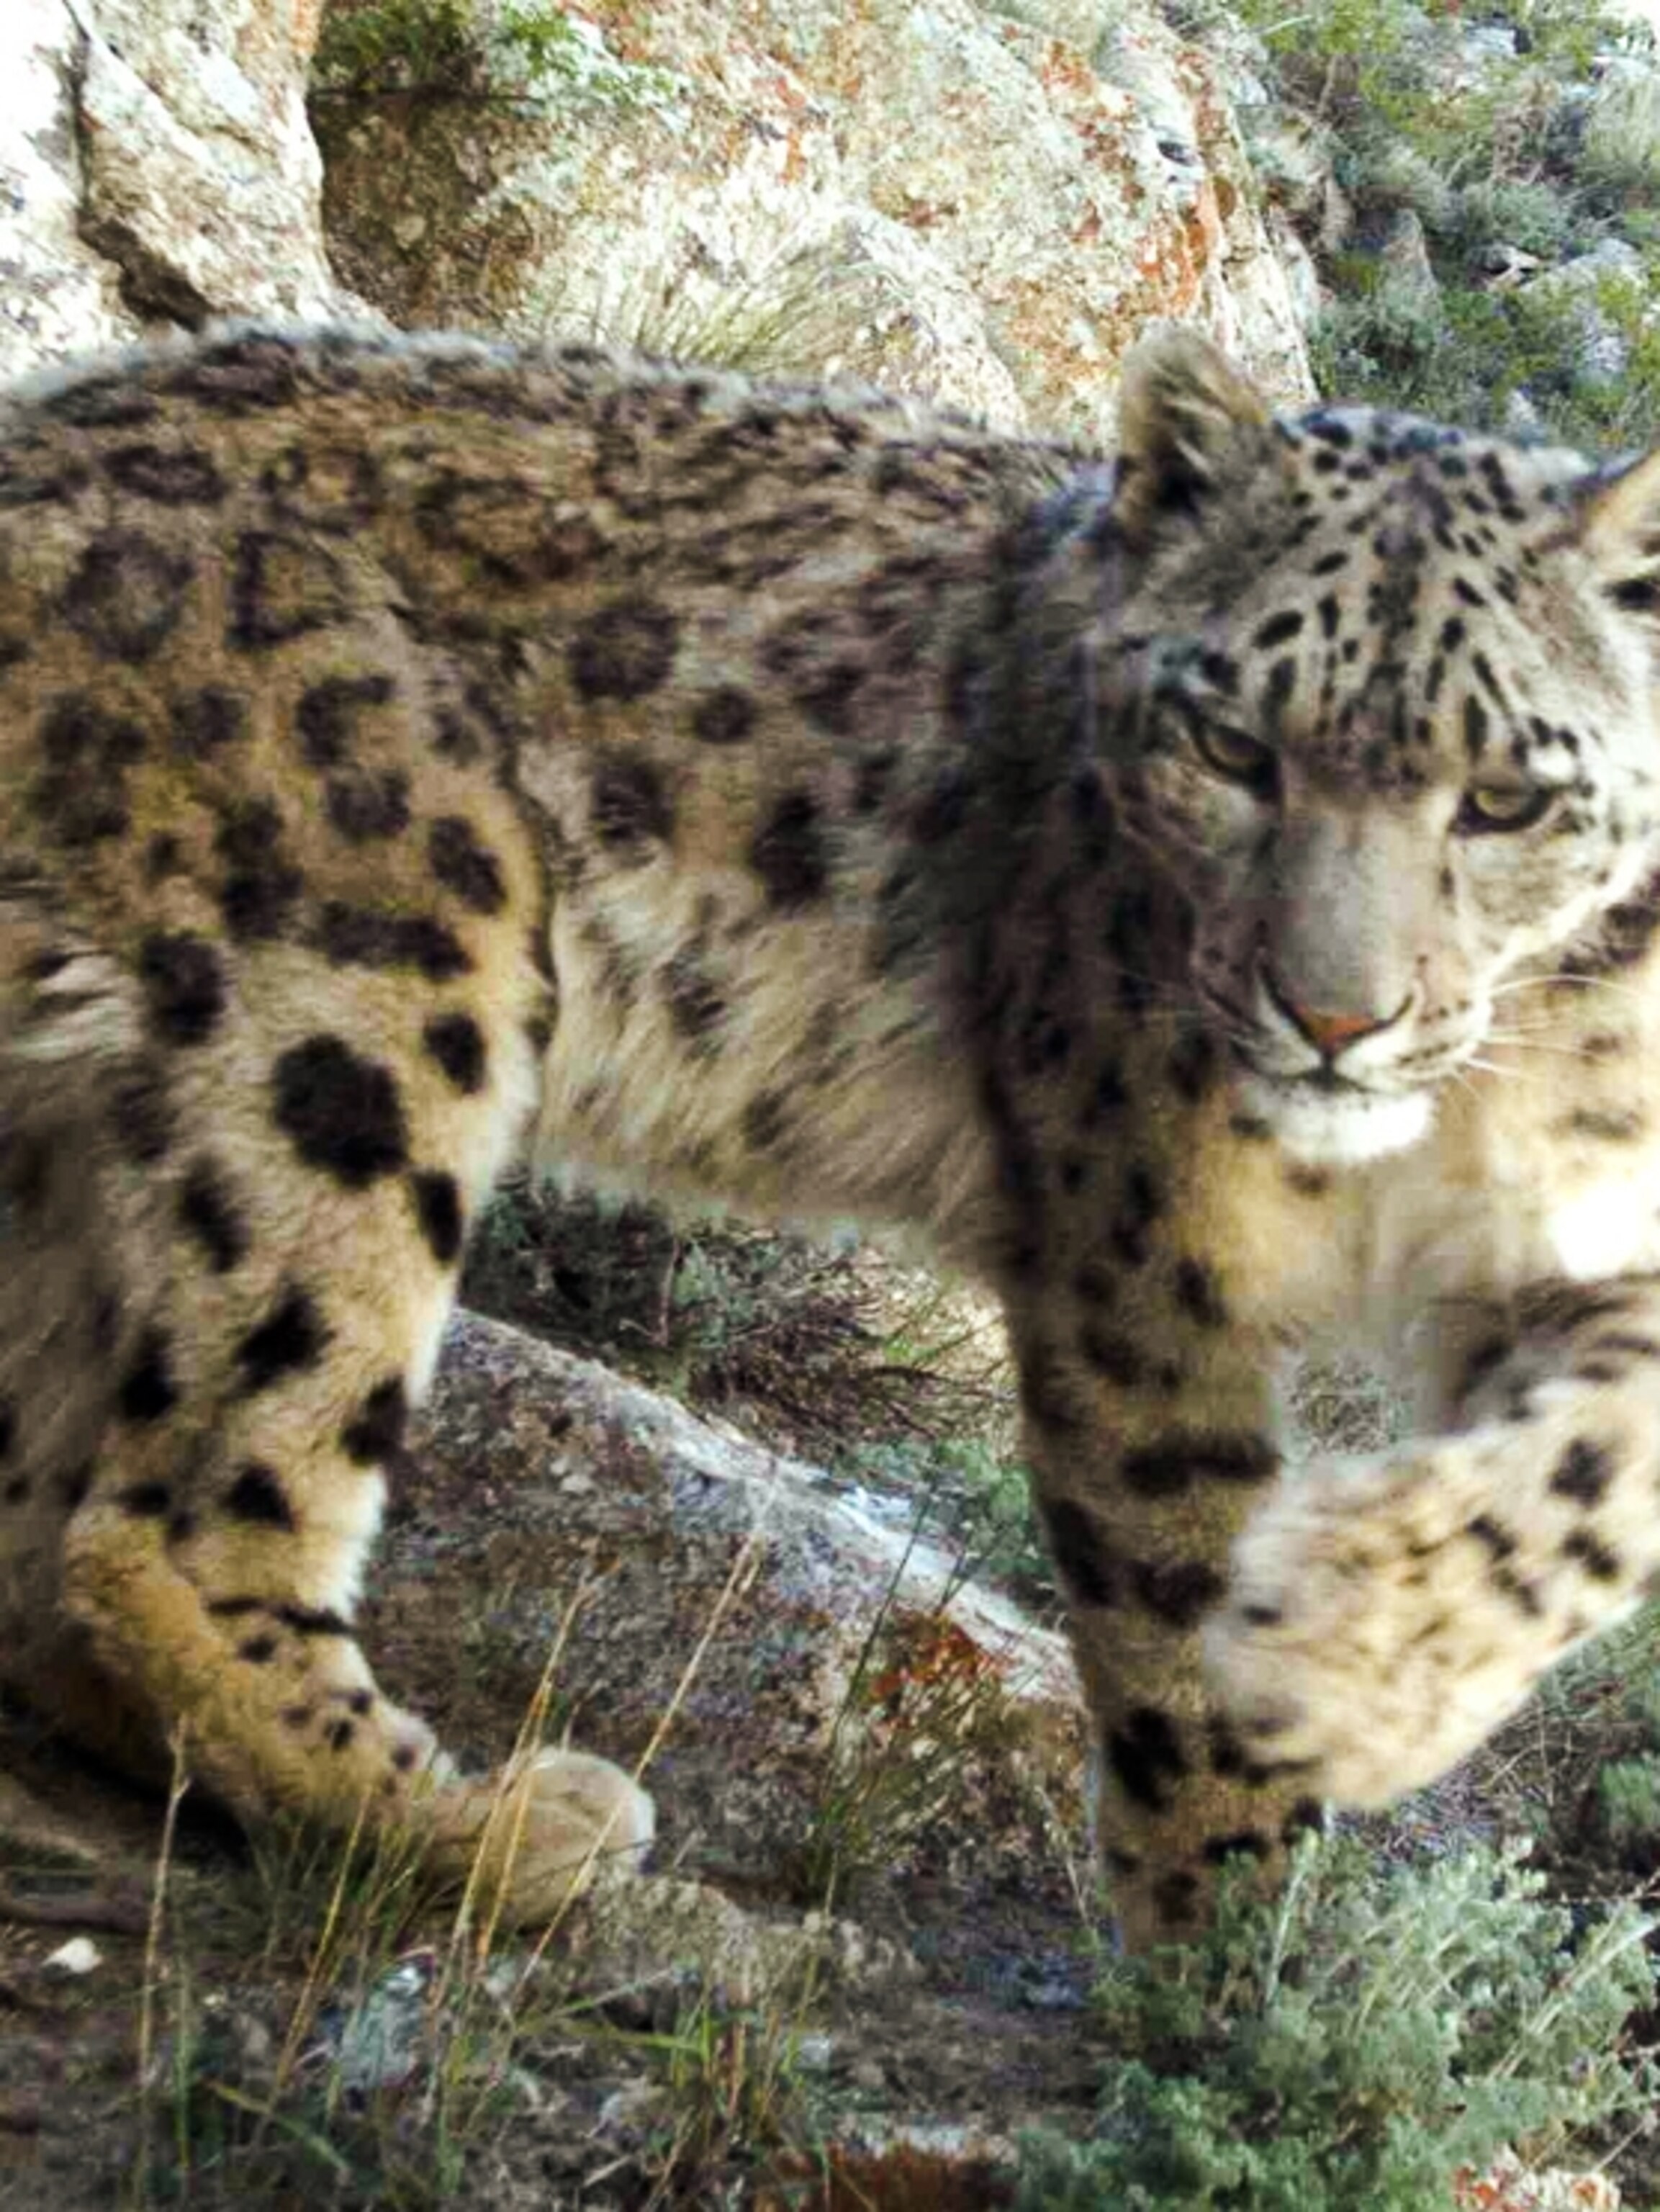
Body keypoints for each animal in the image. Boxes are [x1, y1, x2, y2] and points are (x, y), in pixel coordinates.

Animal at [4, 318, 1660, 1956]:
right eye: (1231, 744)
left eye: (1504, 798)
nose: (1332, 1016)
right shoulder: (1149, 1256)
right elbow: (1180, 1597)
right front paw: (1236, 1948)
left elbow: (1598, 1464)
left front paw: (1374, 1651)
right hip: (375, 972)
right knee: (164, 1519)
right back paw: (489, 1834)